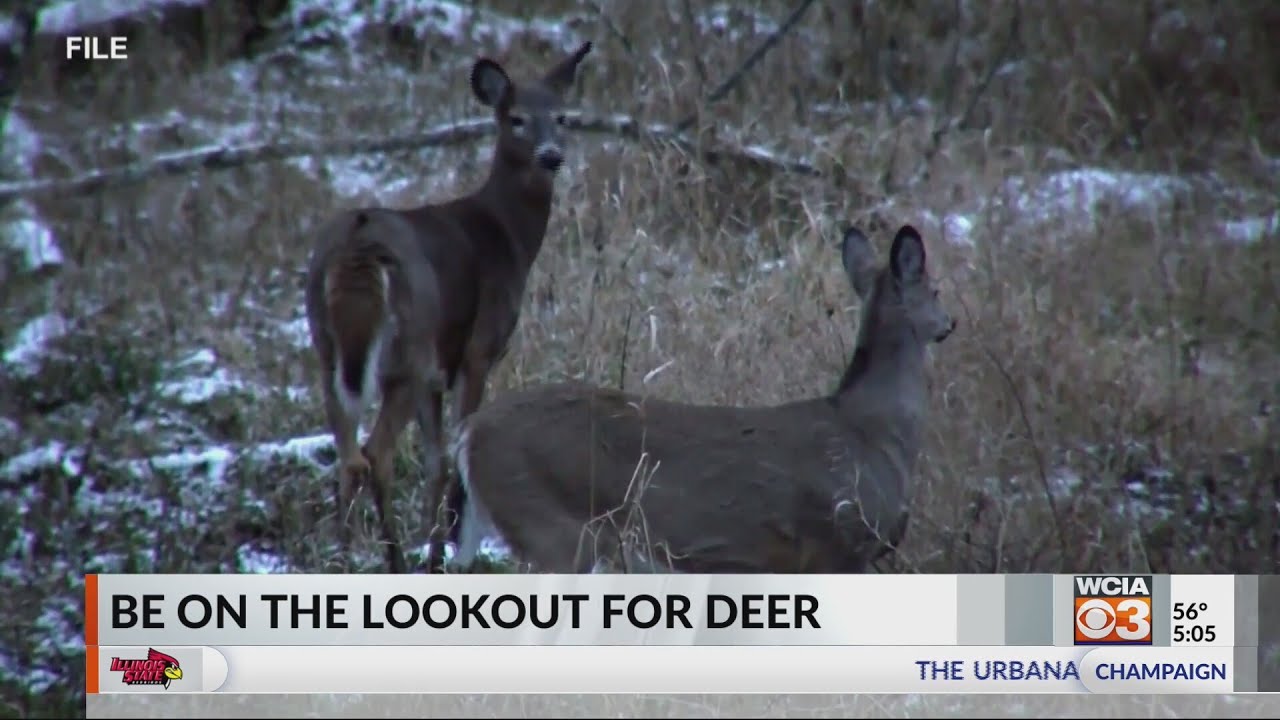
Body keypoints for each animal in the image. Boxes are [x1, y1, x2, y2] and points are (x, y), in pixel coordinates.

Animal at [303, 41, 594, 574]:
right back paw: (393, 560)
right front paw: (453, 548)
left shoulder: (436, 376)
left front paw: (436, 551)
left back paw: (344, 557)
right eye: (517, 119)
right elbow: (458, 446)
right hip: (407, 352)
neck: (507, 234)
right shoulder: (479, 349)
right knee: (376, 452)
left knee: (348, 454)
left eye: (562, 117)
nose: (551, 157)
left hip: (328, 348)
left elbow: (437, 458)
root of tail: (357, 248)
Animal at [447, 223, 957, 573]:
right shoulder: (839, 544)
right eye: (936, 289)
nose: (952, 321)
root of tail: (469, 433)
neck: (872, 430)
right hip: (549, 527)